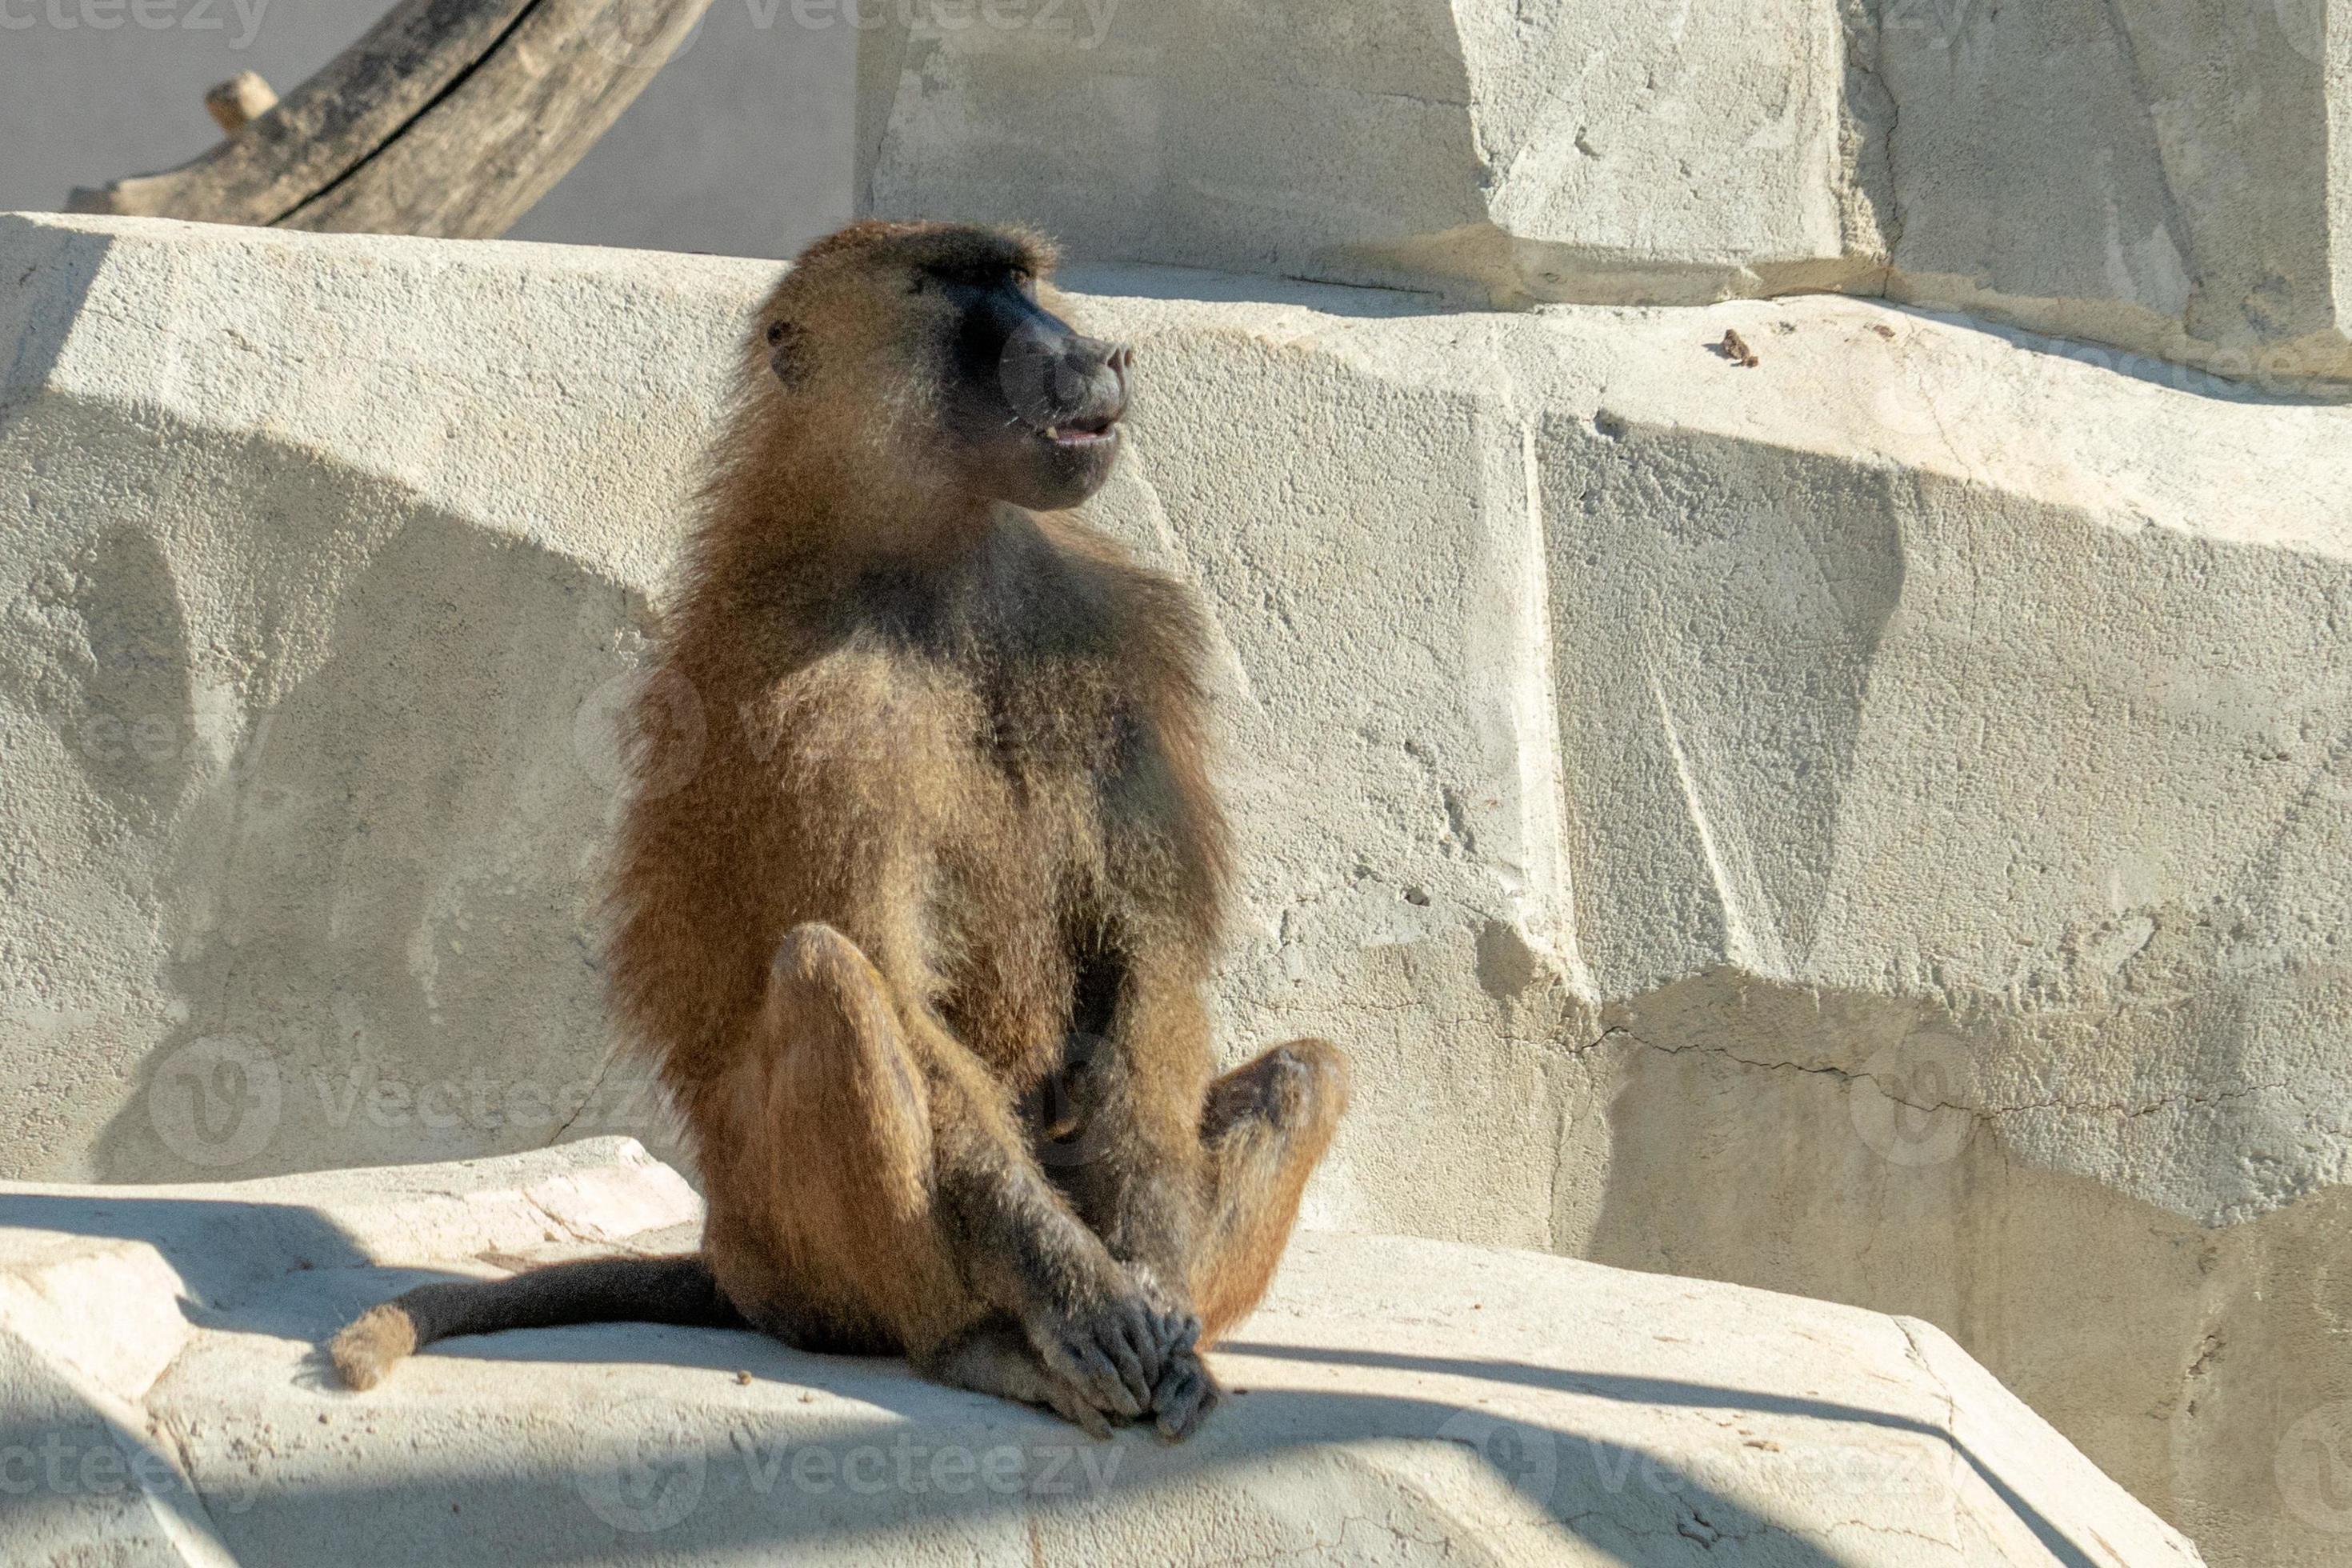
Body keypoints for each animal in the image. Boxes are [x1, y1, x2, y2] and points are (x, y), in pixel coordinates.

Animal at [328, 220, 1350, 1440]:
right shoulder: (816, 701)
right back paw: (979, 1346)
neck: (937, 556)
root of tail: (729, 1252)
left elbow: (1148, 958)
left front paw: (1148, 1285)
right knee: (830, 978)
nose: (1099, 353)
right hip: (799, 1256)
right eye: (963, 286)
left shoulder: (1123, 636)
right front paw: (1084, 1294)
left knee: (1307, 1073)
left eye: (1024, 279)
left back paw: (1178, 1333)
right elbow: (892, 983)